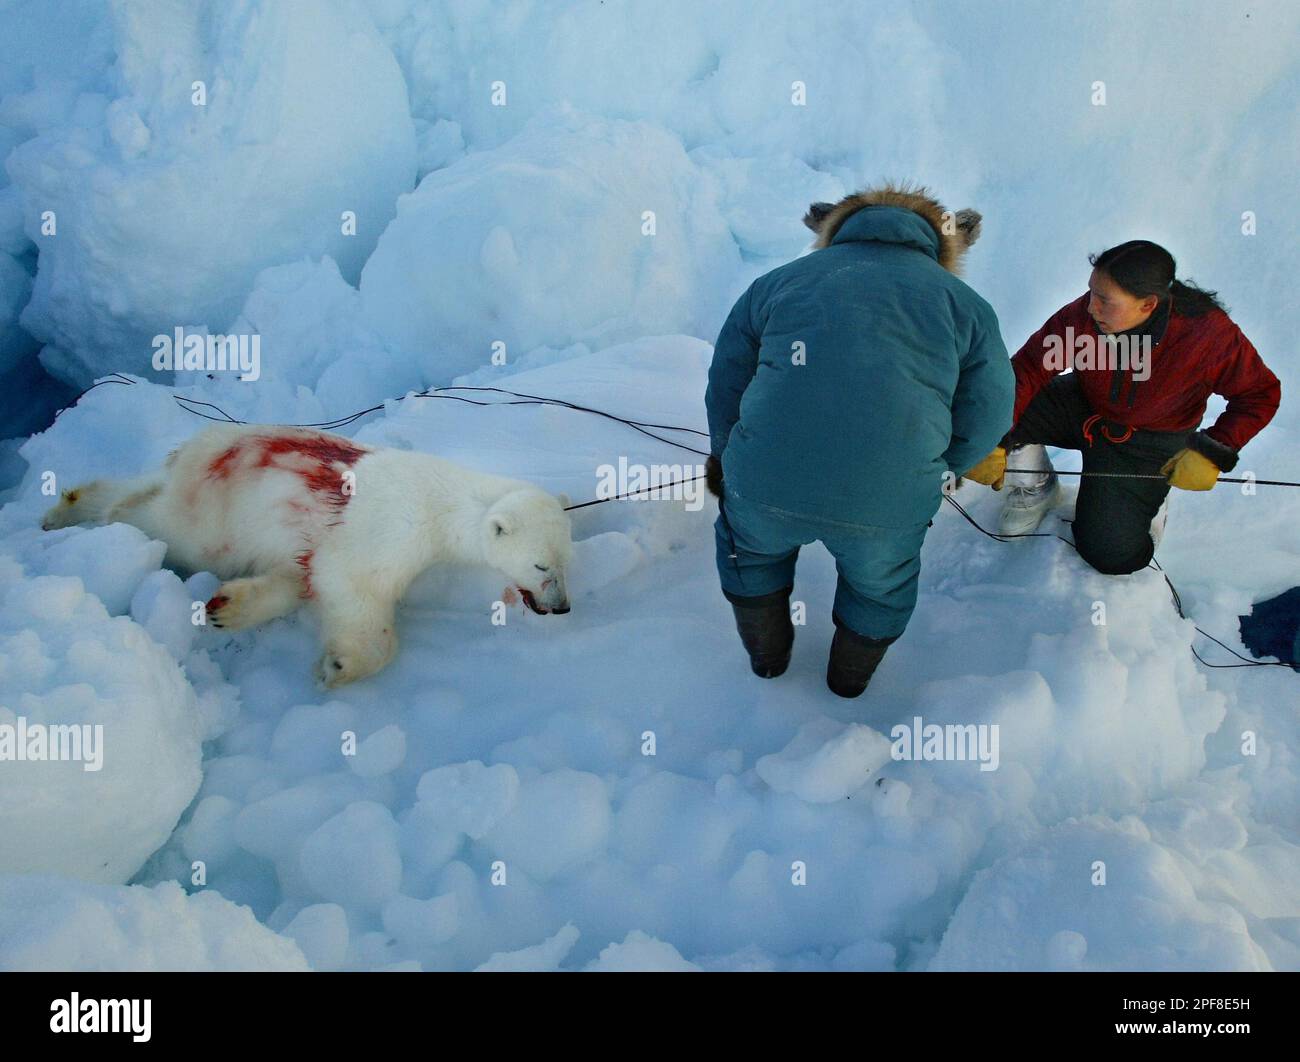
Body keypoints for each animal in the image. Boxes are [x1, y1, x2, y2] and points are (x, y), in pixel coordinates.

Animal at [41, 423, 573, 688]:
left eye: (567, 563)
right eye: (540, 566)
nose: (563, 607)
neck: (445, 499)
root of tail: (193, 451)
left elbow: (301, 574)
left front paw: (229, 607)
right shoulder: (389, 530)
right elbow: (351, 585)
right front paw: (340, 667)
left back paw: (67, 505)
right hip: (207, 514)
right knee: (157, 521)